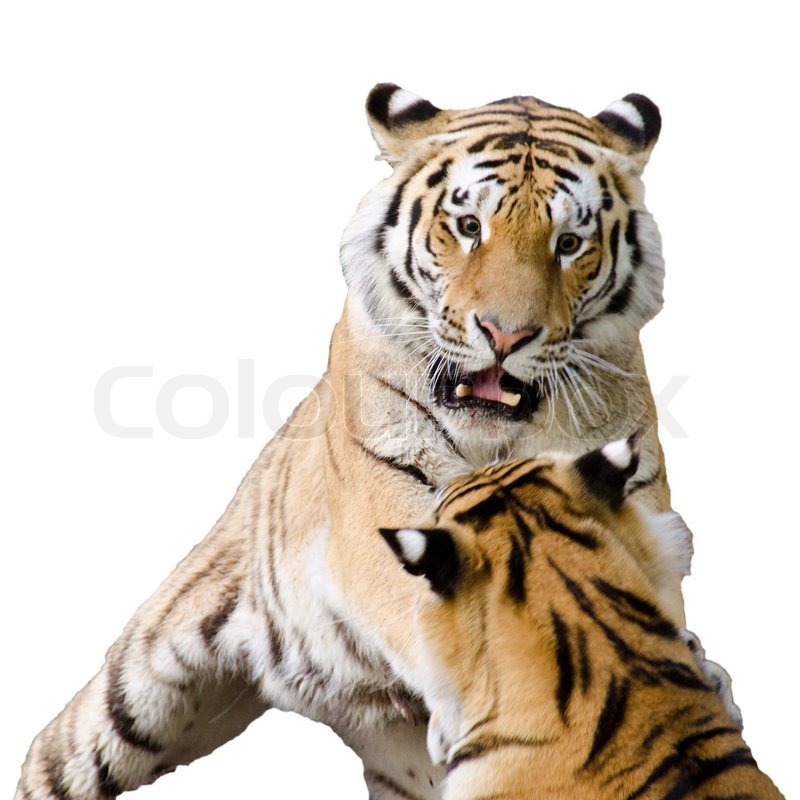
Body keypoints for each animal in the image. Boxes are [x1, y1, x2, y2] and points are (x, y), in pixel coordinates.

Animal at [16, 85, 710, 799]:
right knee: (55, 751)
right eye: (469, 227)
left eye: (569, 243)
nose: (506, 334)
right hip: (133, 696)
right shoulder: (382, 503)